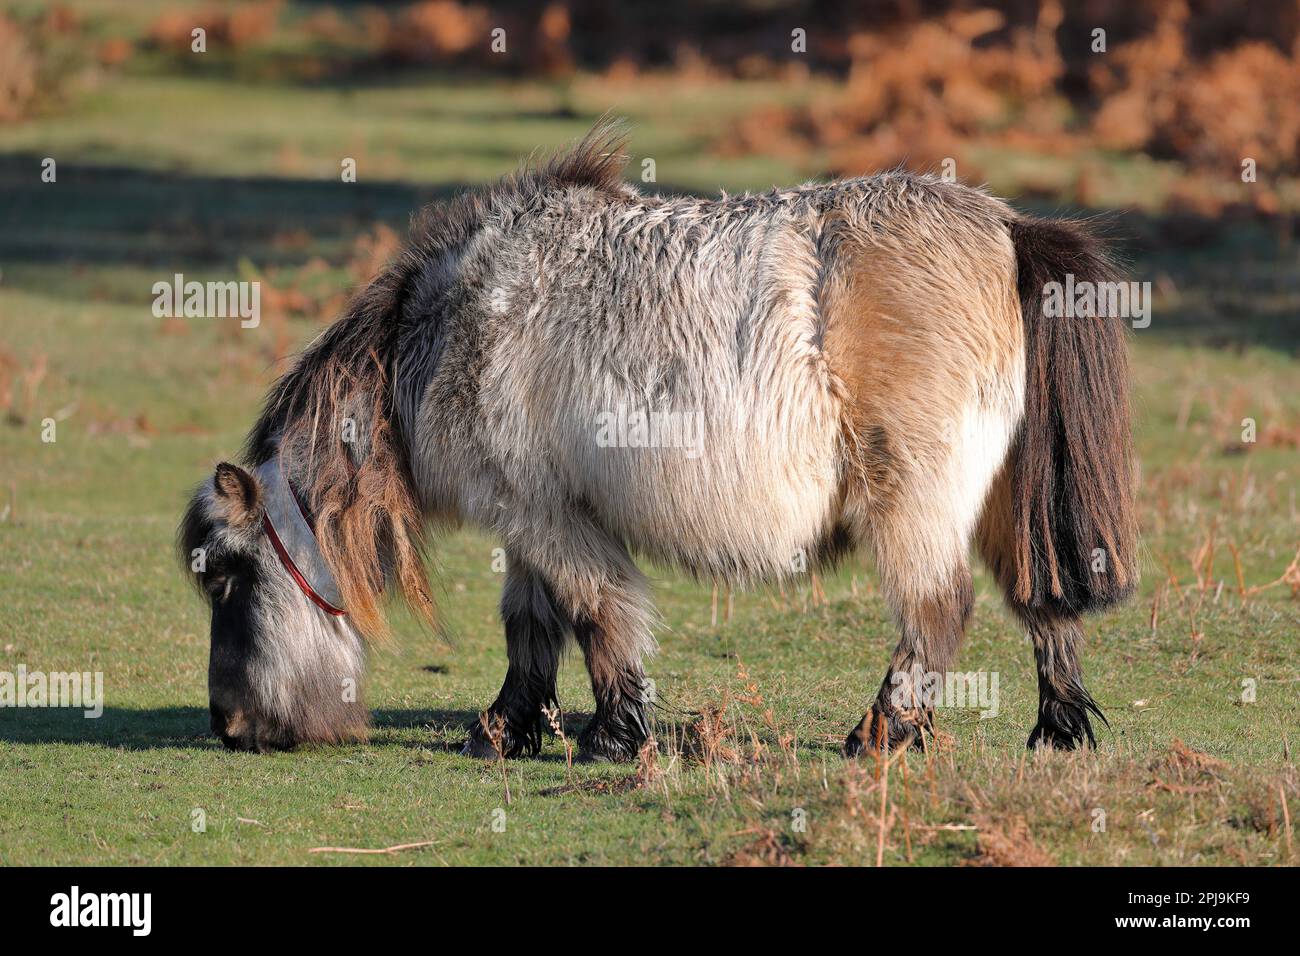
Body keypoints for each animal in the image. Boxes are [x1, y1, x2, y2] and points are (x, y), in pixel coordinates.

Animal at [178, 123, 1137, 759]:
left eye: (226, 577)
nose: (230, 727)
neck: (447, 329)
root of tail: (1008, 230)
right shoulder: (528, 519)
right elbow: (530, 624)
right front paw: (507, 728)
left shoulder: (547, 517)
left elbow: (598, 614)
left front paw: (611, 734)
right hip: (1006, 502)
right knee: (1044, 609)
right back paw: (1056, 732)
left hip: (913, 500)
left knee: (938, 611)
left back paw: (882, 733)